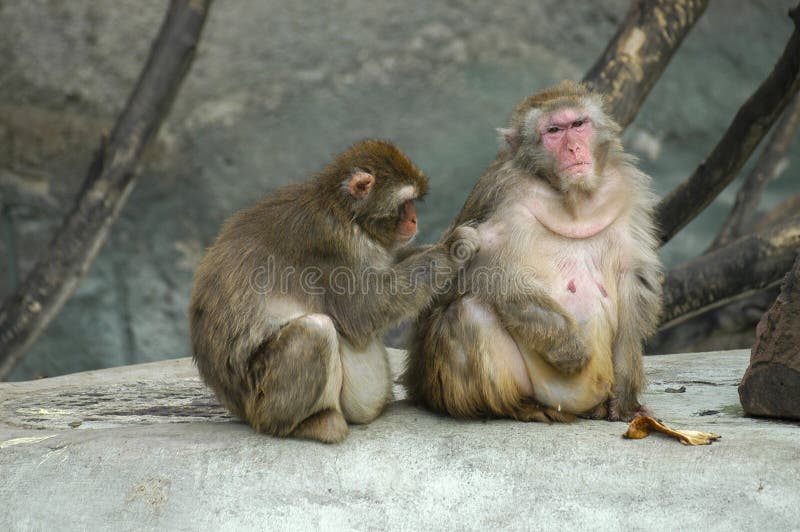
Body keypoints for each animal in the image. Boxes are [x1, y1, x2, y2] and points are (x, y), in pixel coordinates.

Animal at [189, 139, 480, 443]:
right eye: (405, 203)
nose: (414, 219)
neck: (347, 213)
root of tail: (238, 407)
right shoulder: (332, 245)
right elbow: (362, 312)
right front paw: (453, 248)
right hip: (261, 400)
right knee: (315, 330)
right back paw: (310, 424)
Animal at [403, 80, 662, 423]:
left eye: (577, 124)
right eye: (553, 131)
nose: (573, 149)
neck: (572, 200)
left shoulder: (625, 190)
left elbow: (635, 280)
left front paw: (625, 401)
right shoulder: (502, 190)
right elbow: (477, 276)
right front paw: (569, 347)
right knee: (464, 313)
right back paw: (520, 407)